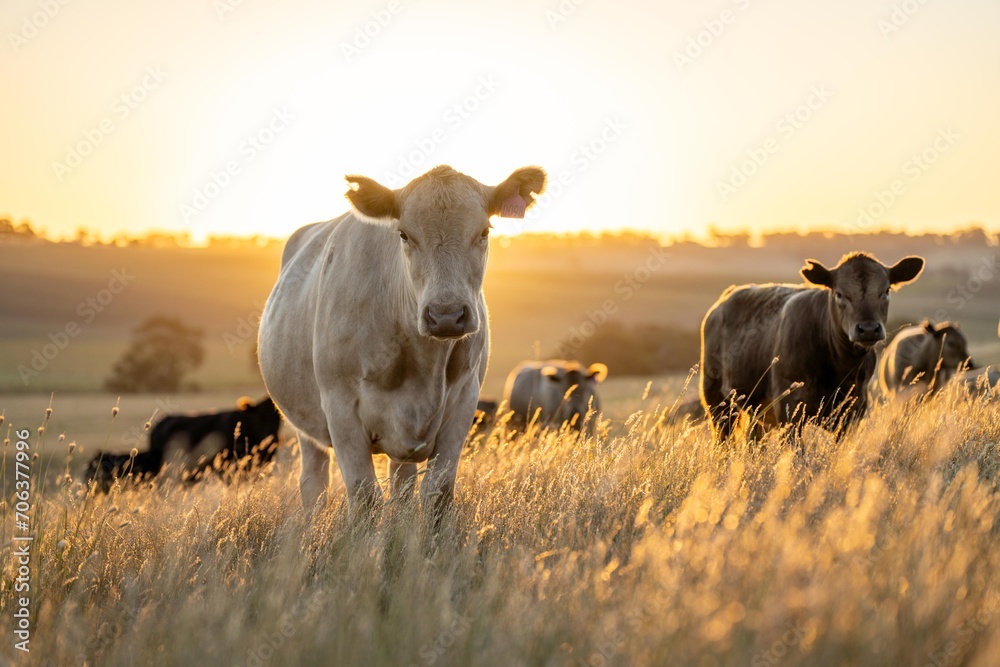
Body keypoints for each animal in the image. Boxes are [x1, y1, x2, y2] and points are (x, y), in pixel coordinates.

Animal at [258, 165, 547, 516]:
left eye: (484, 231)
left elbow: (438, 492)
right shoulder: (339, 407)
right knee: (314, 484)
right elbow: (365, 498)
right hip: (305, 427)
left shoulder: (464, 400)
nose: (446, 315)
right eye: (404, 235)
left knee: (402, 484)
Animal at [699, 252, 925, 445]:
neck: (840, 368)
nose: (868, 329)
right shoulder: (789, 409)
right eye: (839, 294)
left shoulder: (853, 411)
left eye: (886, 291)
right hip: (716, 399)